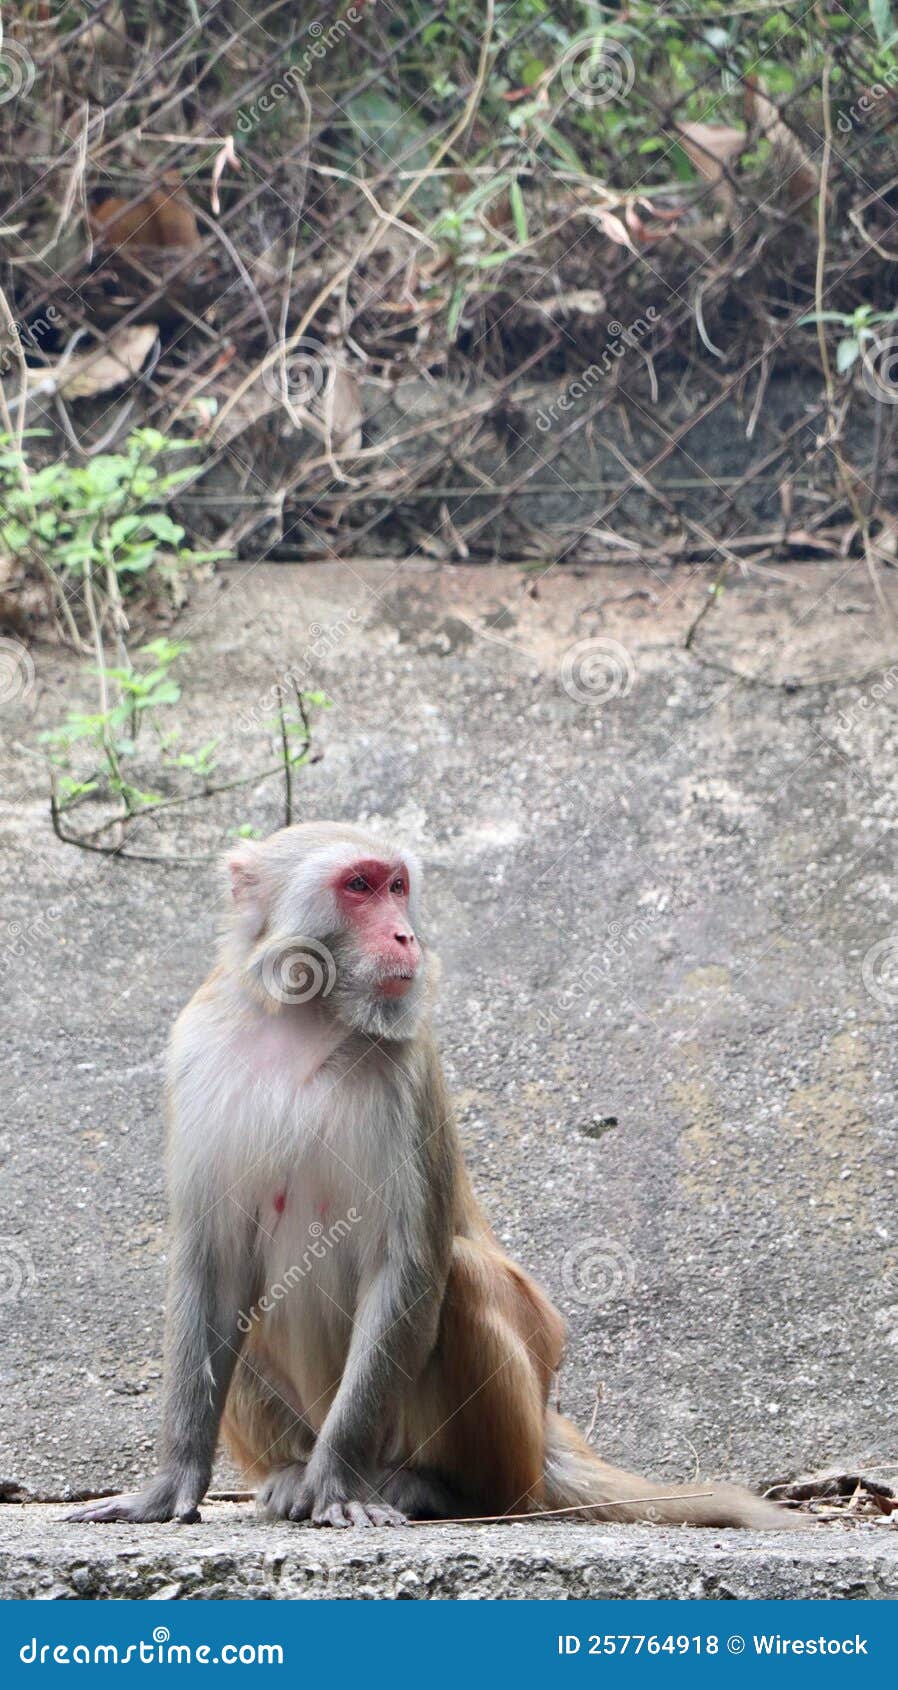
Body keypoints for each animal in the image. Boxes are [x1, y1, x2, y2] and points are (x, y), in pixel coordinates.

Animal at [70, 822, 791, 1530]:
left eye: (397, 887)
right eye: (358, 886)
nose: (405, 936)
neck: (304, 1025)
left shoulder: (408, 1071)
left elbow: (408, 1260)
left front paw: (339, 1482)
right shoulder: (199, 1053)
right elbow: (213, 1265)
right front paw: (172, 1481)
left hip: (506, 1433)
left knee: (462, 1280)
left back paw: (446, 1492)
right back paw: (290, 1472)